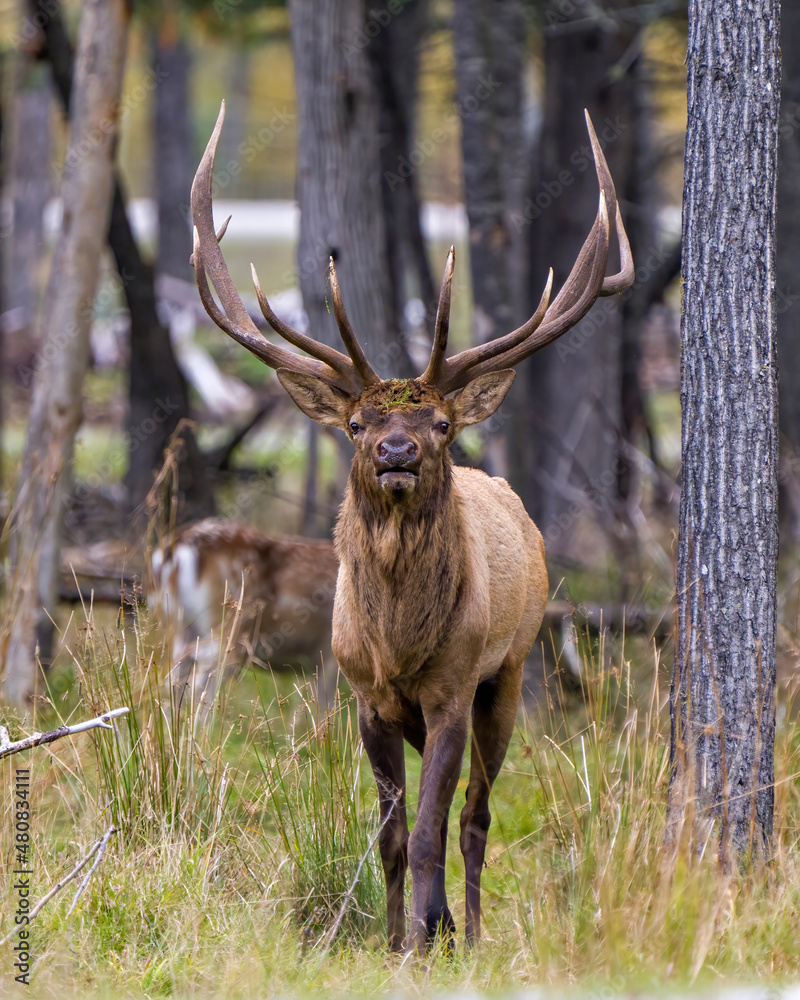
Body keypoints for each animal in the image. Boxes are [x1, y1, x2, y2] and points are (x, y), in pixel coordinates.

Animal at [190, 101, 633, 956]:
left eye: (440, 422)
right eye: (358, 423)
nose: (397, 452)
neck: (398, 643)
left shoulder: (454, 686)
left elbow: (432, 828)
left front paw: (425, 940)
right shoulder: (366, 697)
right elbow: (391, 835)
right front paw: (397, 935)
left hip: (510, 669)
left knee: (475, 814)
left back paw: (473, 928)